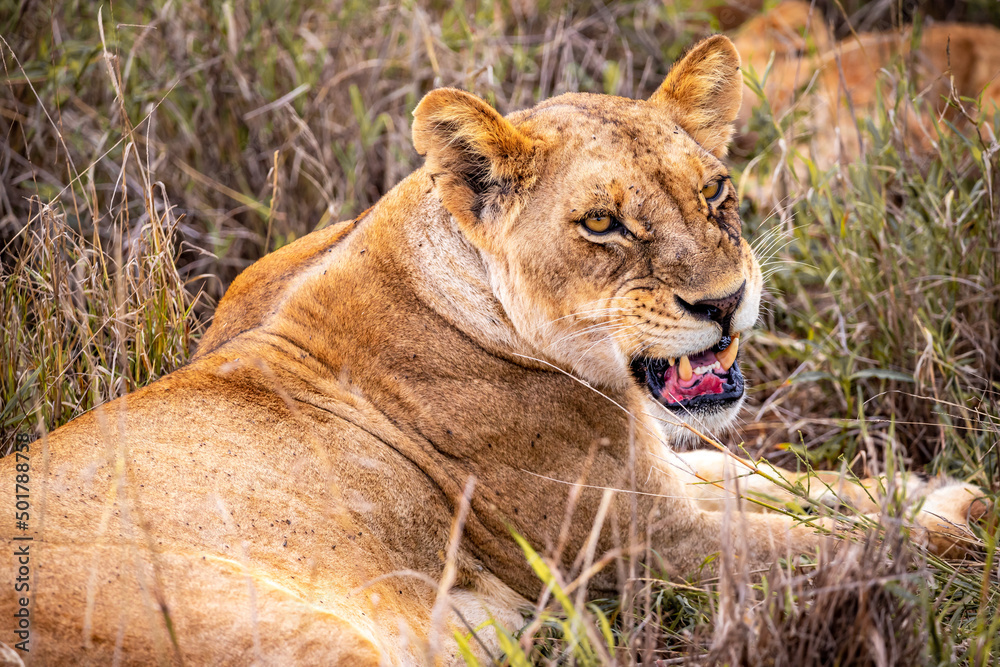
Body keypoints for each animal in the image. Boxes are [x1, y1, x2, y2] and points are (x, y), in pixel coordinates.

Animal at [1, 35, 988, 665]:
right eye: (602, 223)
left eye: (715, 192)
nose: (723, 301)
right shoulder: (647, 547)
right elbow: (846, 548)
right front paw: (965, 529)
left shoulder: (660, 472)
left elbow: (803, 484)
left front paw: (940, 492)